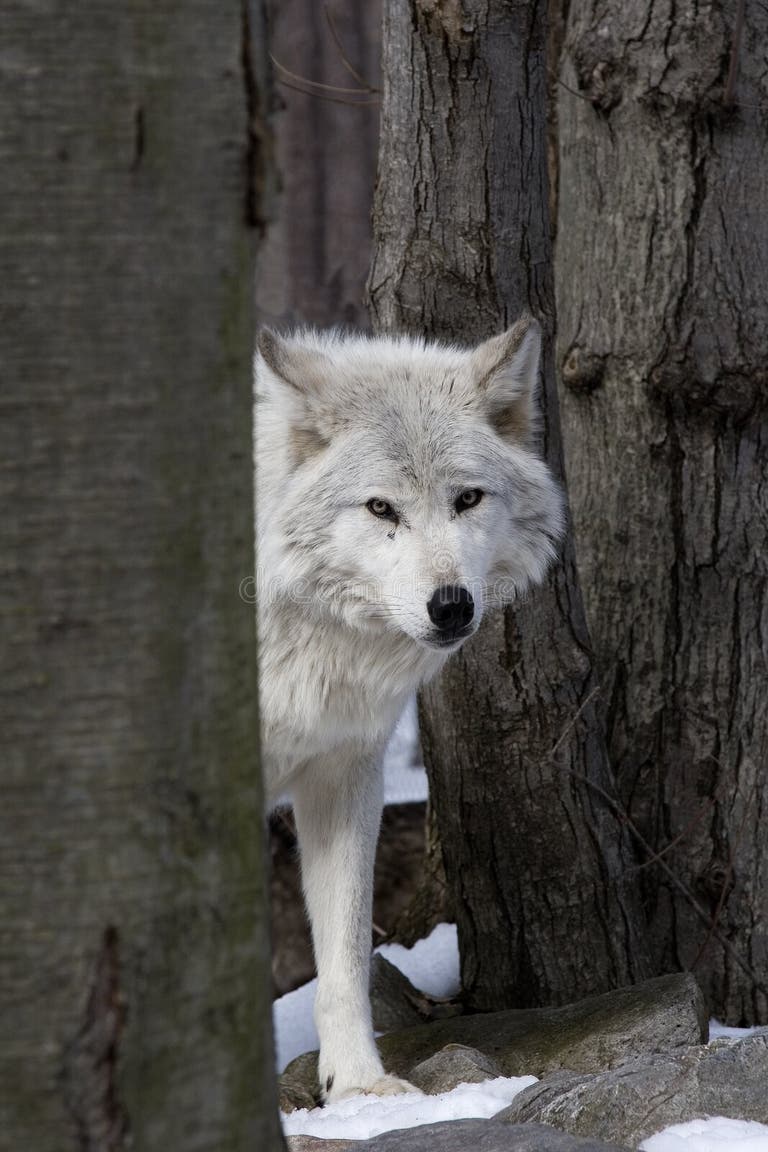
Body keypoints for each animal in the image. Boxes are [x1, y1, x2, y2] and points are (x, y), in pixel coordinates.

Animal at [255, 315, 563, 1101]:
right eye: (380, 508)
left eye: (468, 499)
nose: (450, 606)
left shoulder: (344, 774)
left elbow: (343, 955)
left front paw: (359, 1089)